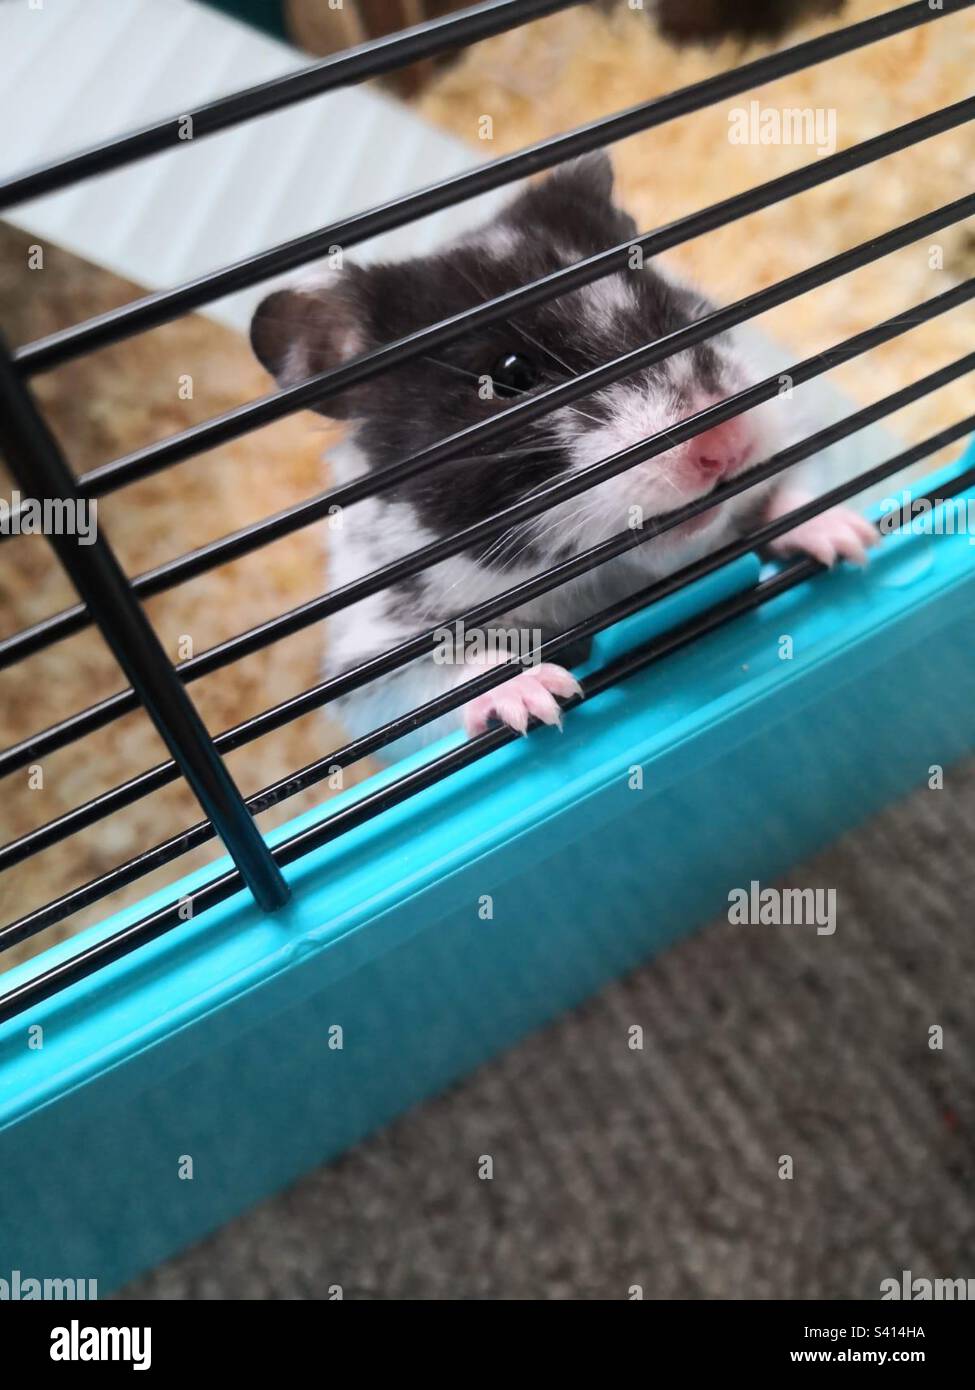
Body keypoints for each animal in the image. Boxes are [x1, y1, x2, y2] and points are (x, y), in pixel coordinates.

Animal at [250, 152, 877, 758]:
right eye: (510, 376)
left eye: (674, 308)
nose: (724, 446)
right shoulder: (371, 663)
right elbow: (454, 675)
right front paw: (544, 701)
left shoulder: (787, 432)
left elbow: (795, 490)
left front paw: (852, 540)